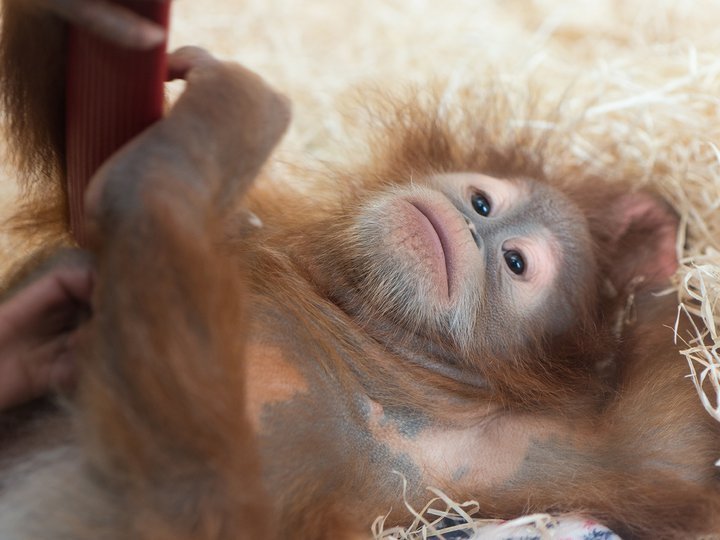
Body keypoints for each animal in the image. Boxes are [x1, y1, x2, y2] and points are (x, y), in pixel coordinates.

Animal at [1, 2, 719, 540]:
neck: (377, 328)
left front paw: (211, 127)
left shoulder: (555, 456)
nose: (472, 225)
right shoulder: (256, 222)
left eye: (515, 262)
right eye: (484, 202)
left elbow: (183, 498)